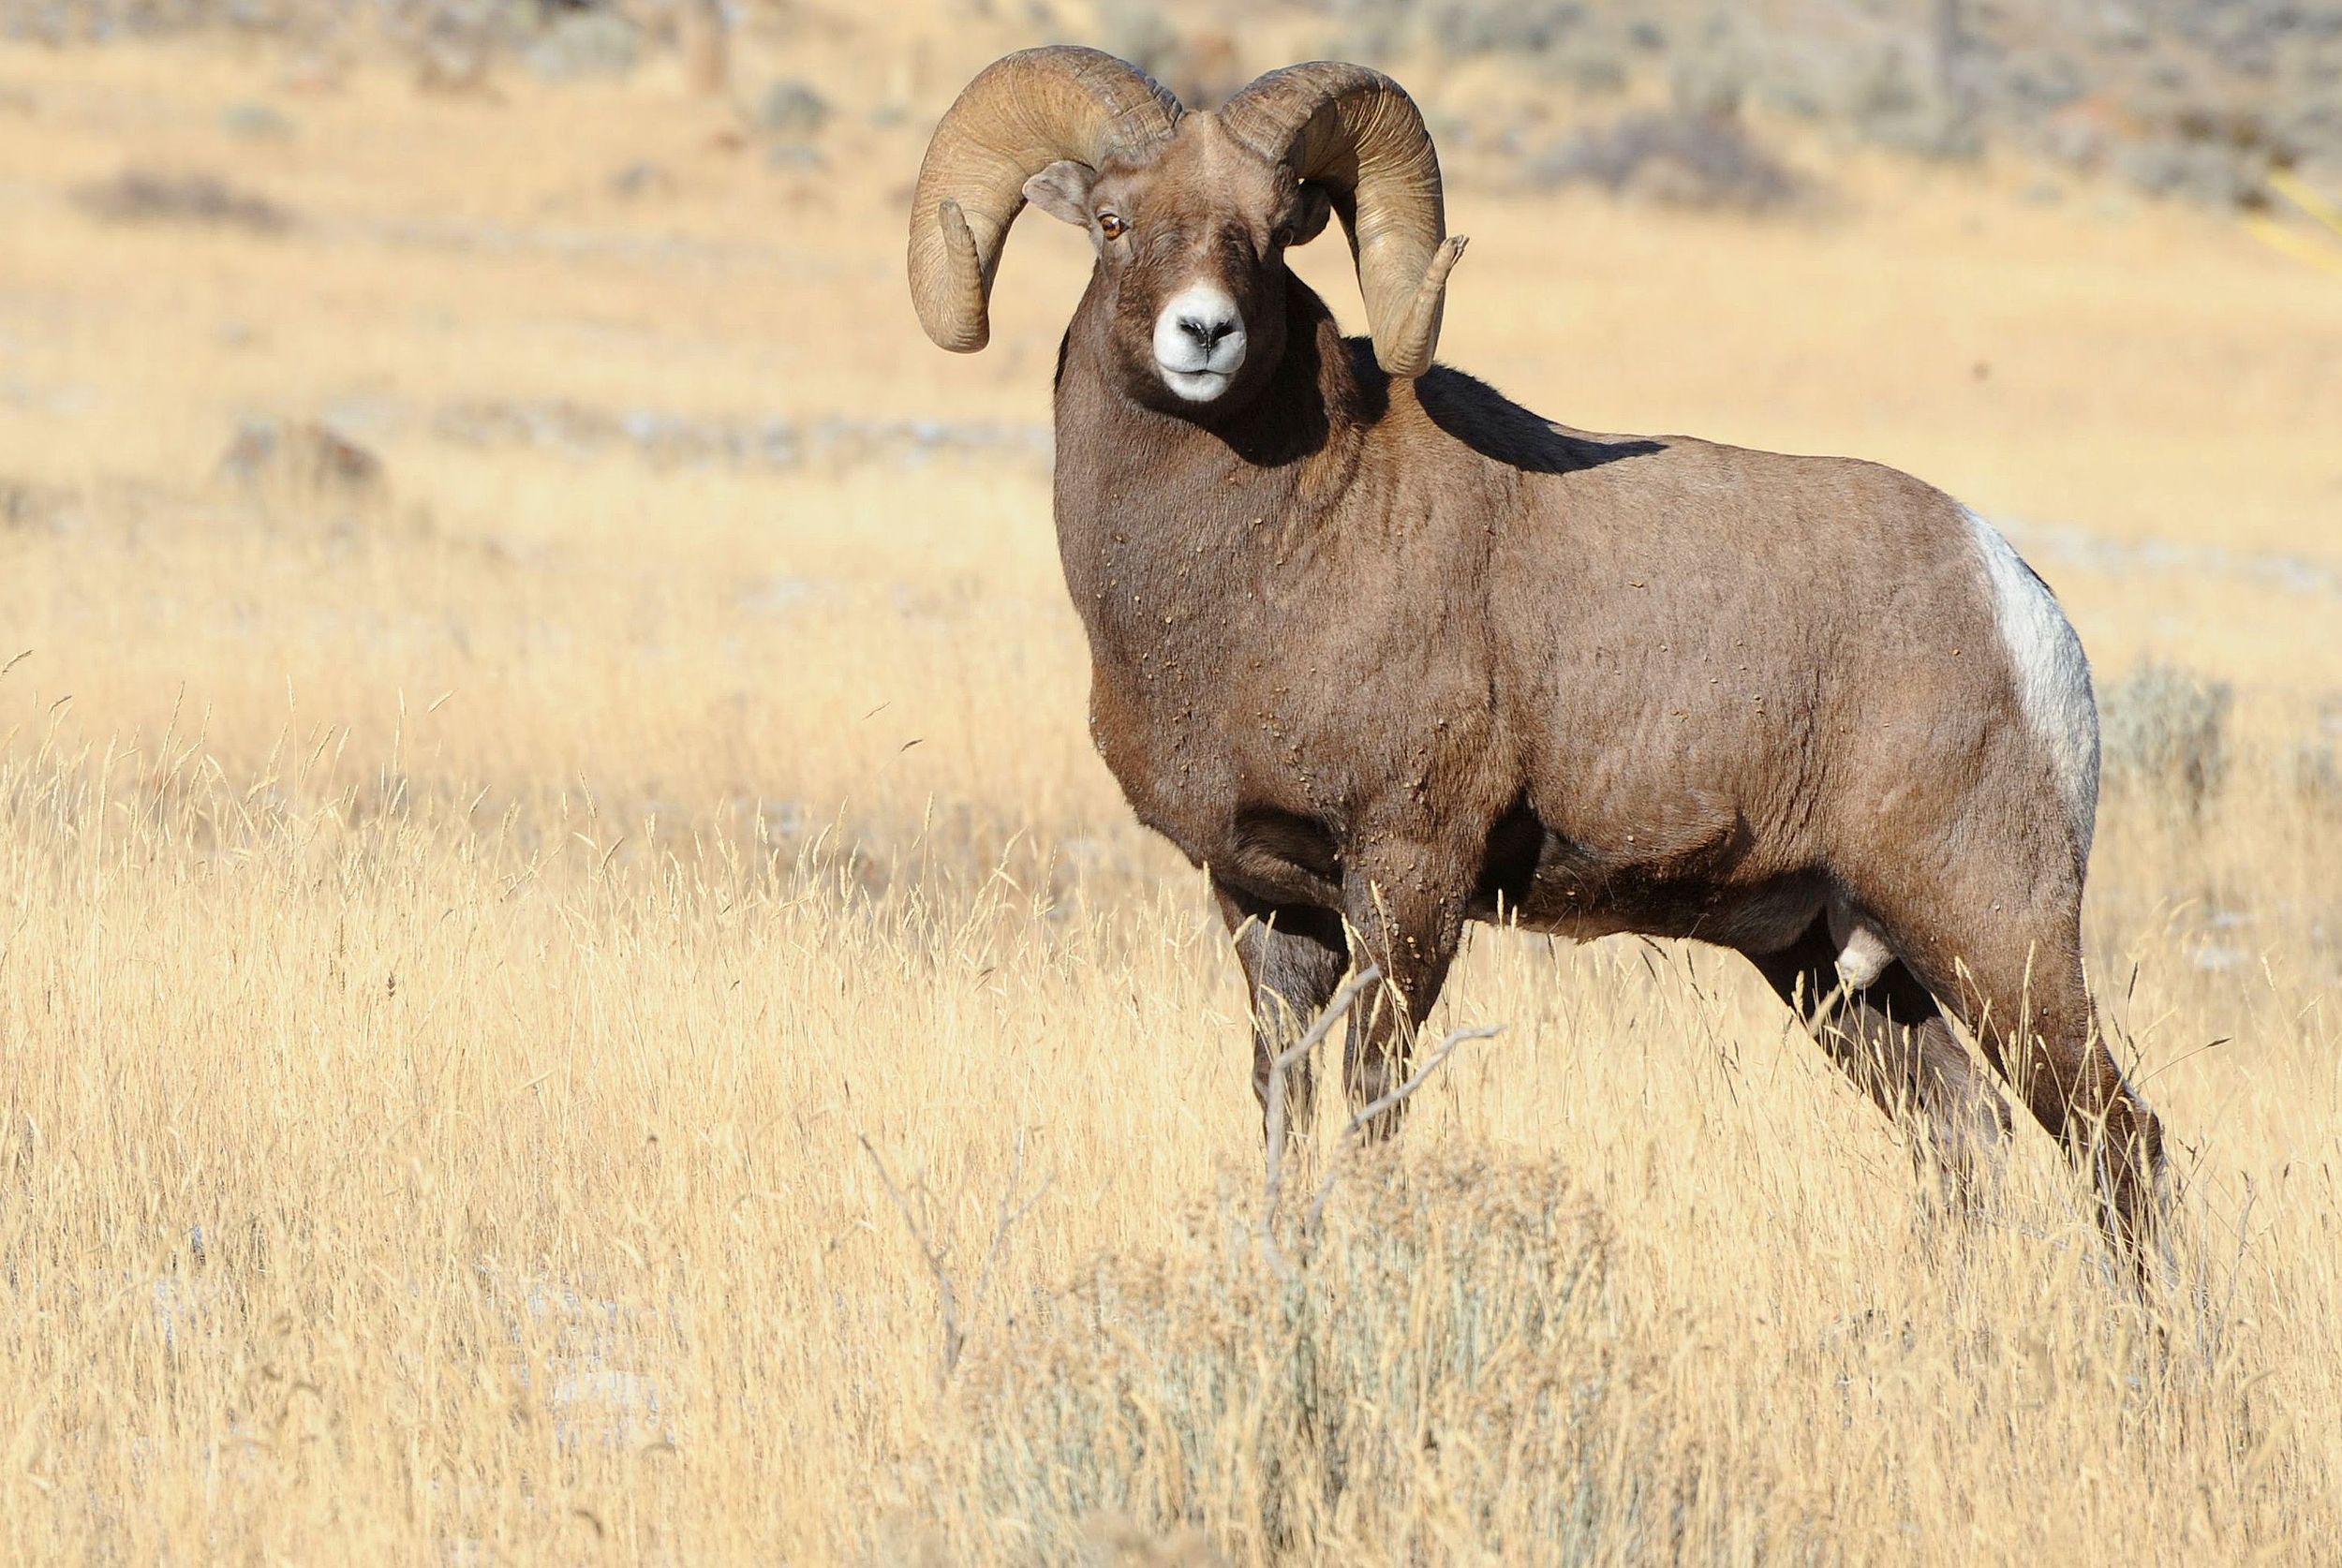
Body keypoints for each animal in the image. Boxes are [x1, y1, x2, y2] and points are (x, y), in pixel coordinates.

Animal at [906, 47, 2167, 1269]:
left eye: (1272, 228)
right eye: (1114, 221)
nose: (1204, 334)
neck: (1271, 556)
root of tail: (2014, 593)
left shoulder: (1410, 875)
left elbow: (1374, 1097)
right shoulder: (1261, 901)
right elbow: (1283, 1099)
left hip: (1990, 932)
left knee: (2117, 1137)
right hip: (1834, 965)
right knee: (1963, 1129)